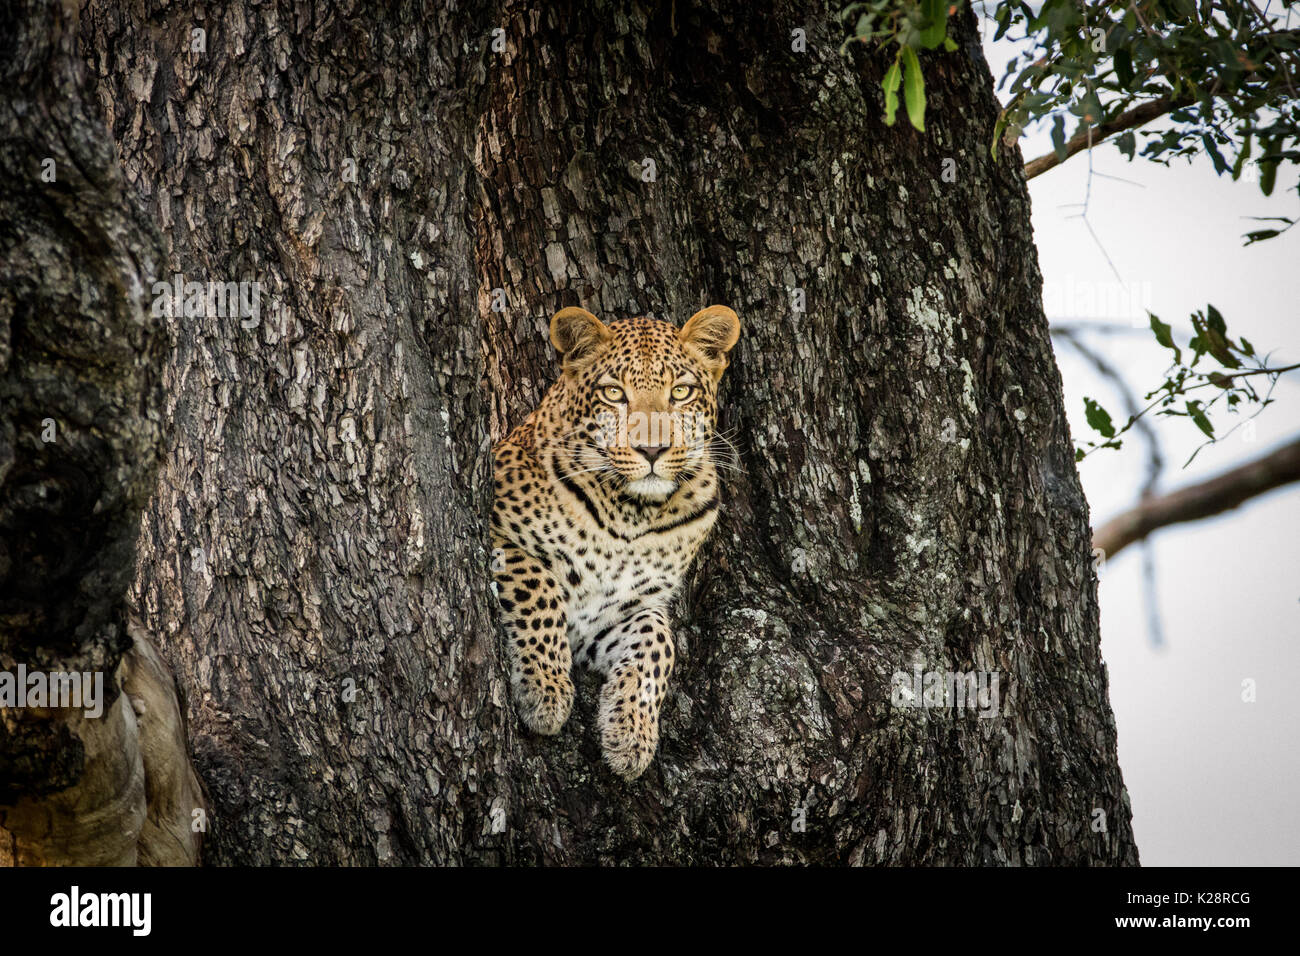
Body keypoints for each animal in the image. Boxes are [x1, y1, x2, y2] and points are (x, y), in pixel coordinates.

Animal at [491, 304, 741, 780]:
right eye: (613, 393)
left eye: (681, 392)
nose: (652, 450)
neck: (631, 517)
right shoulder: (497, 534)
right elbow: (540, 587)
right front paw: (546, 692)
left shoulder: (624, 609)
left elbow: (659, 643)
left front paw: (631, 734)